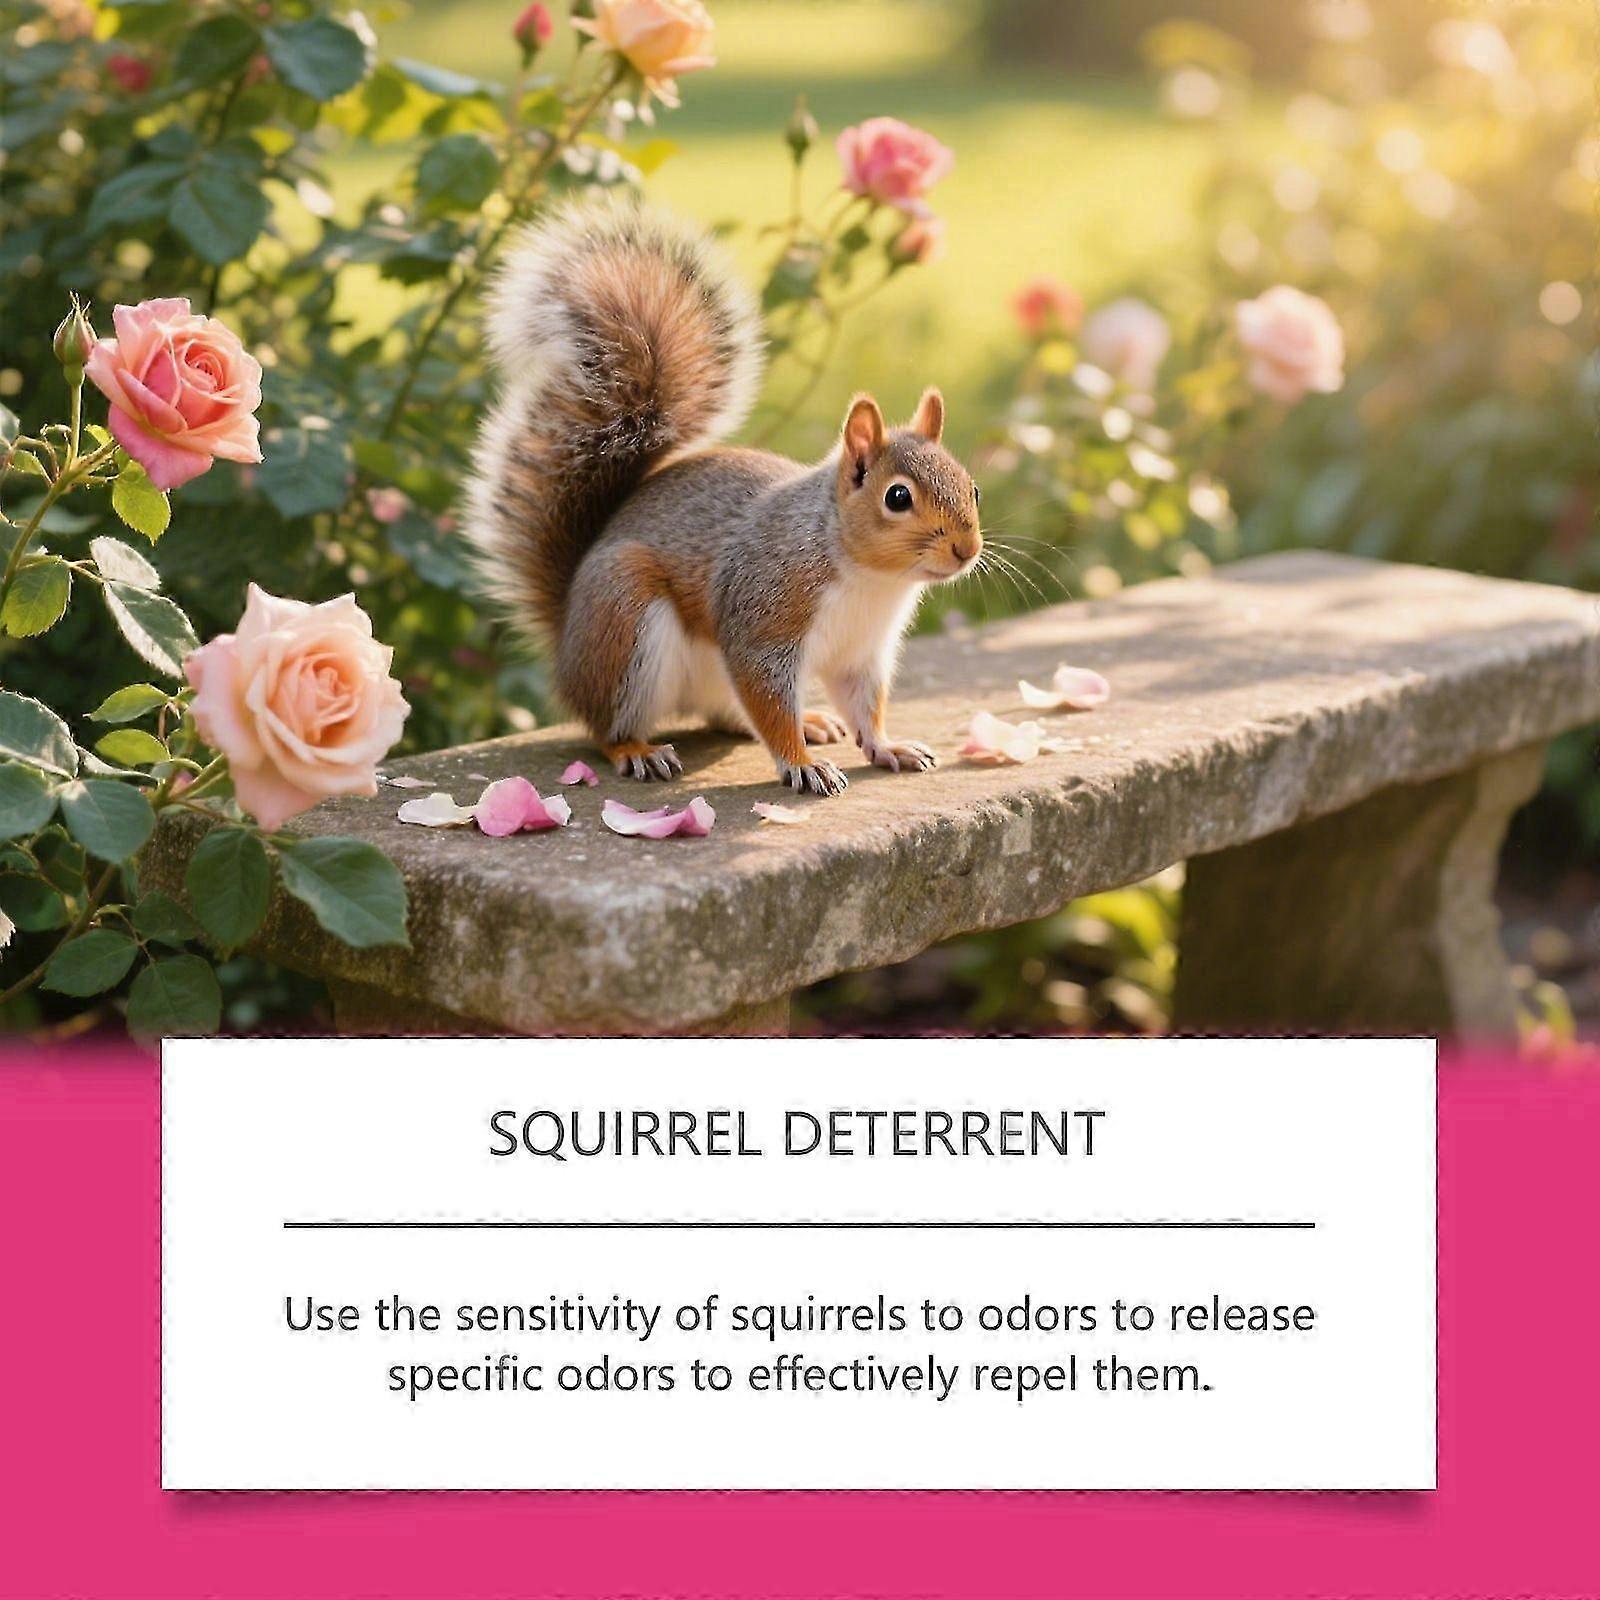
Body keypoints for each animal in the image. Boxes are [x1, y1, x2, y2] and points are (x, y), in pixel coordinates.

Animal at [464, 195, 983, 797]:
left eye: (972, 487)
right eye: (897, 497)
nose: (966, 550)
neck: (868, 579)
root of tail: (567, 637)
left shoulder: (861, 651)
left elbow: (864, 705)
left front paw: (886, 746)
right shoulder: (764, 619)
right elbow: (767, 696)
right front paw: (801, 764)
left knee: (729, 715)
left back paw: (811, 719)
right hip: (626, 621)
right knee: (606, 725)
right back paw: (638, 750)